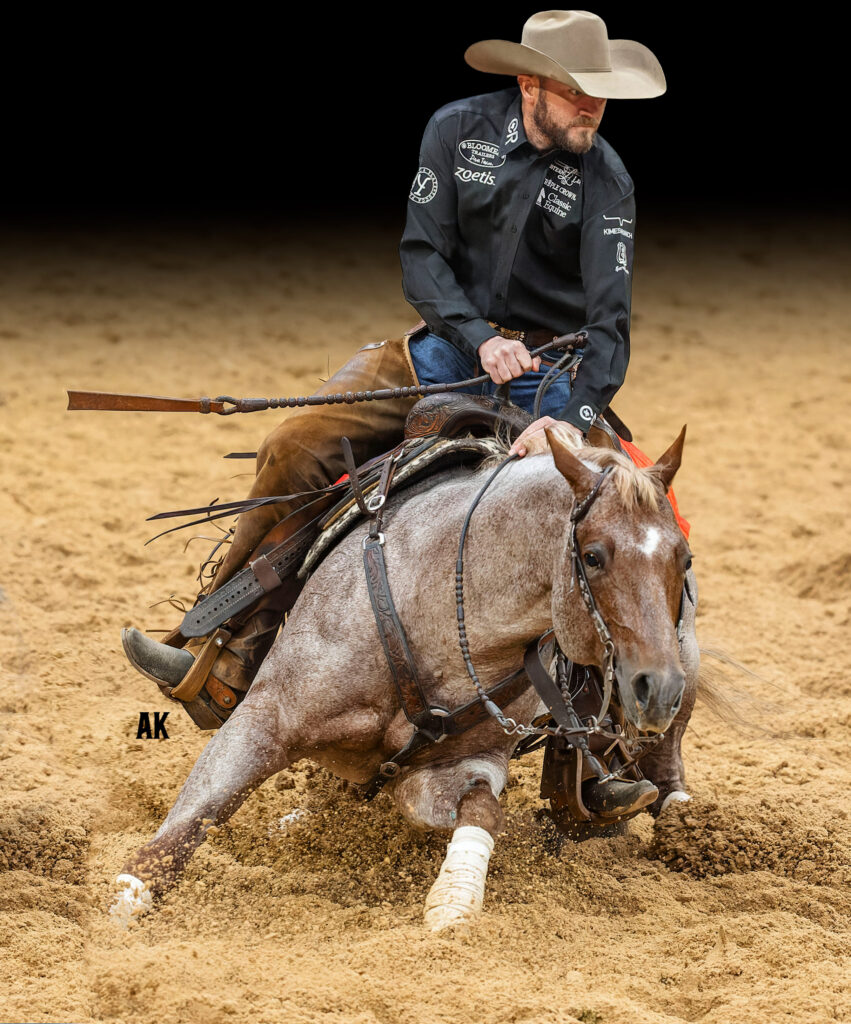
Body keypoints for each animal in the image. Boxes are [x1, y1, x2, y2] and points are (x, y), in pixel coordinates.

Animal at [111, 425, 698, 931]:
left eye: (684, 558)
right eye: (593, 556)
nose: (656, 689)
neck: (436, 615)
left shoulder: (455, 767)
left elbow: (482, 807)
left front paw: (453, 902)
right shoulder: (264, 720)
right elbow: (195, 817)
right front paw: (123, 907)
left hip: (683, 666)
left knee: (667, 756)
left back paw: (680, 819)